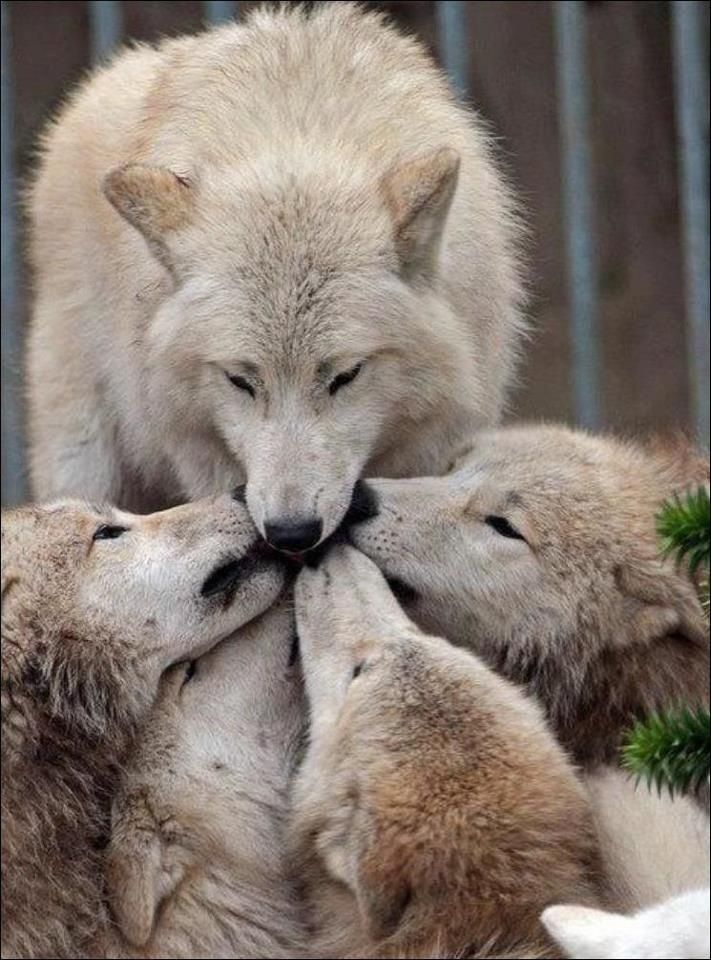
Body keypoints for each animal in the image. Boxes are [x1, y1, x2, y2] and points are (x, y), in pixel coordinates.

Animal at [27, 2, 525, 549]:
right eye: (240, 380)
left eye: (346, 376)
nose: (292, 533)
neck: (299, 133)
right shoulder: (204, 456)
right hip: (85, 452)